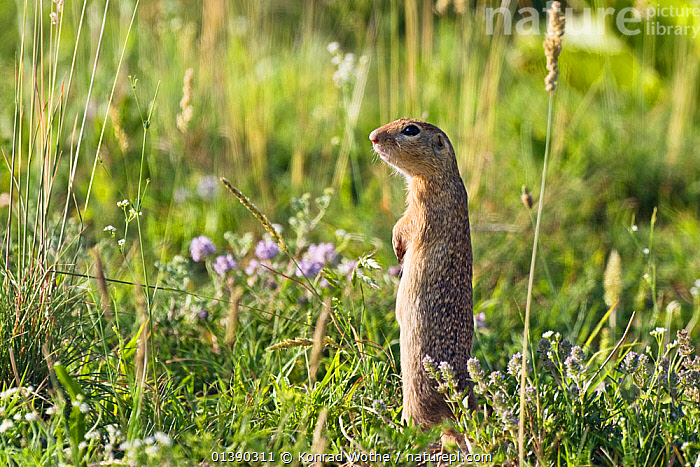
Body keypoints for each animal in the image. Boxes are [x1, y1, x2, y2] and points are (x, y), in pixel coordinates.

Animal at [369, 118, 476, 431]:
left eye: (410, 130)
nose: (372, 137)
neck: (442, 177)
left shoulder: (422, 207)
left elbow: (404, 227)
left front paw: (397, 248)